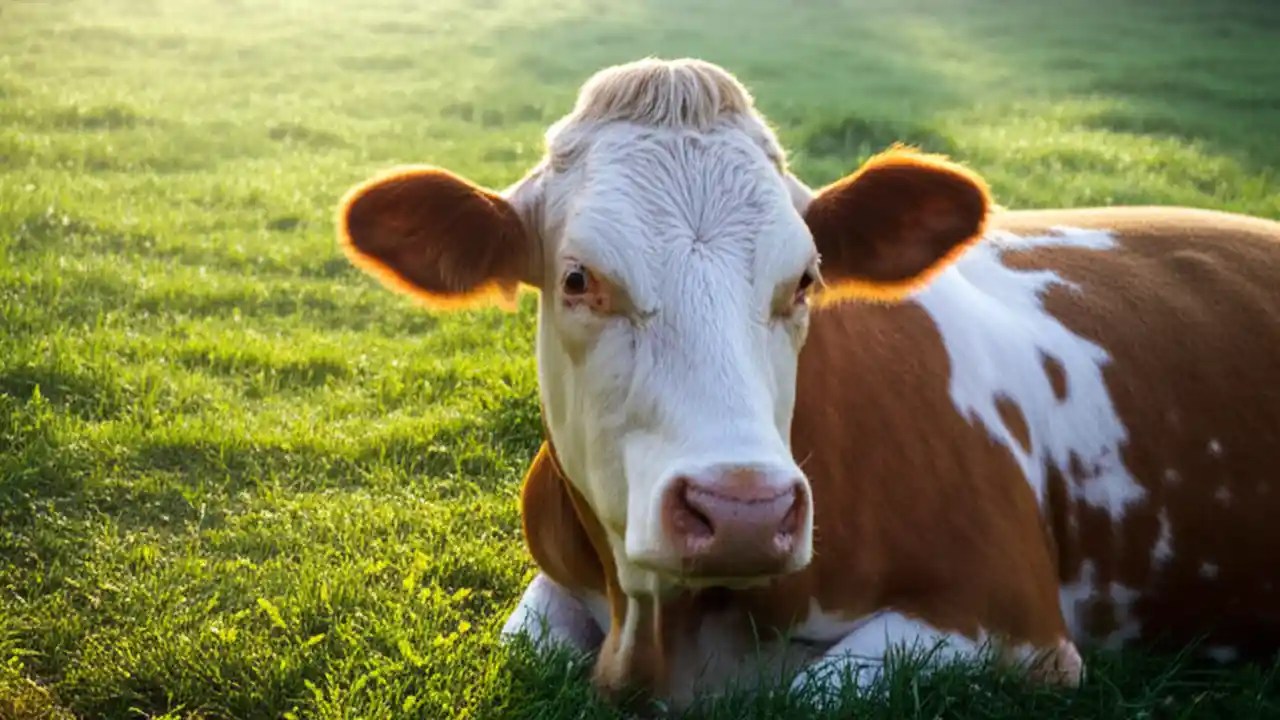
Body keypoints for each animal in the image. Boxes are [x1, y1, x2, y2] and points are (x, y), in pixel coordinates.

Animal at [336, 57, 1280, 708]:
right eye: (578, 279)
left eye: (806, 280)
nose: (744, 510)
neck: (664, 633)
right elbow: (528, 641)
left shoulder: (1015, 623)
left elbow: (812, 691)